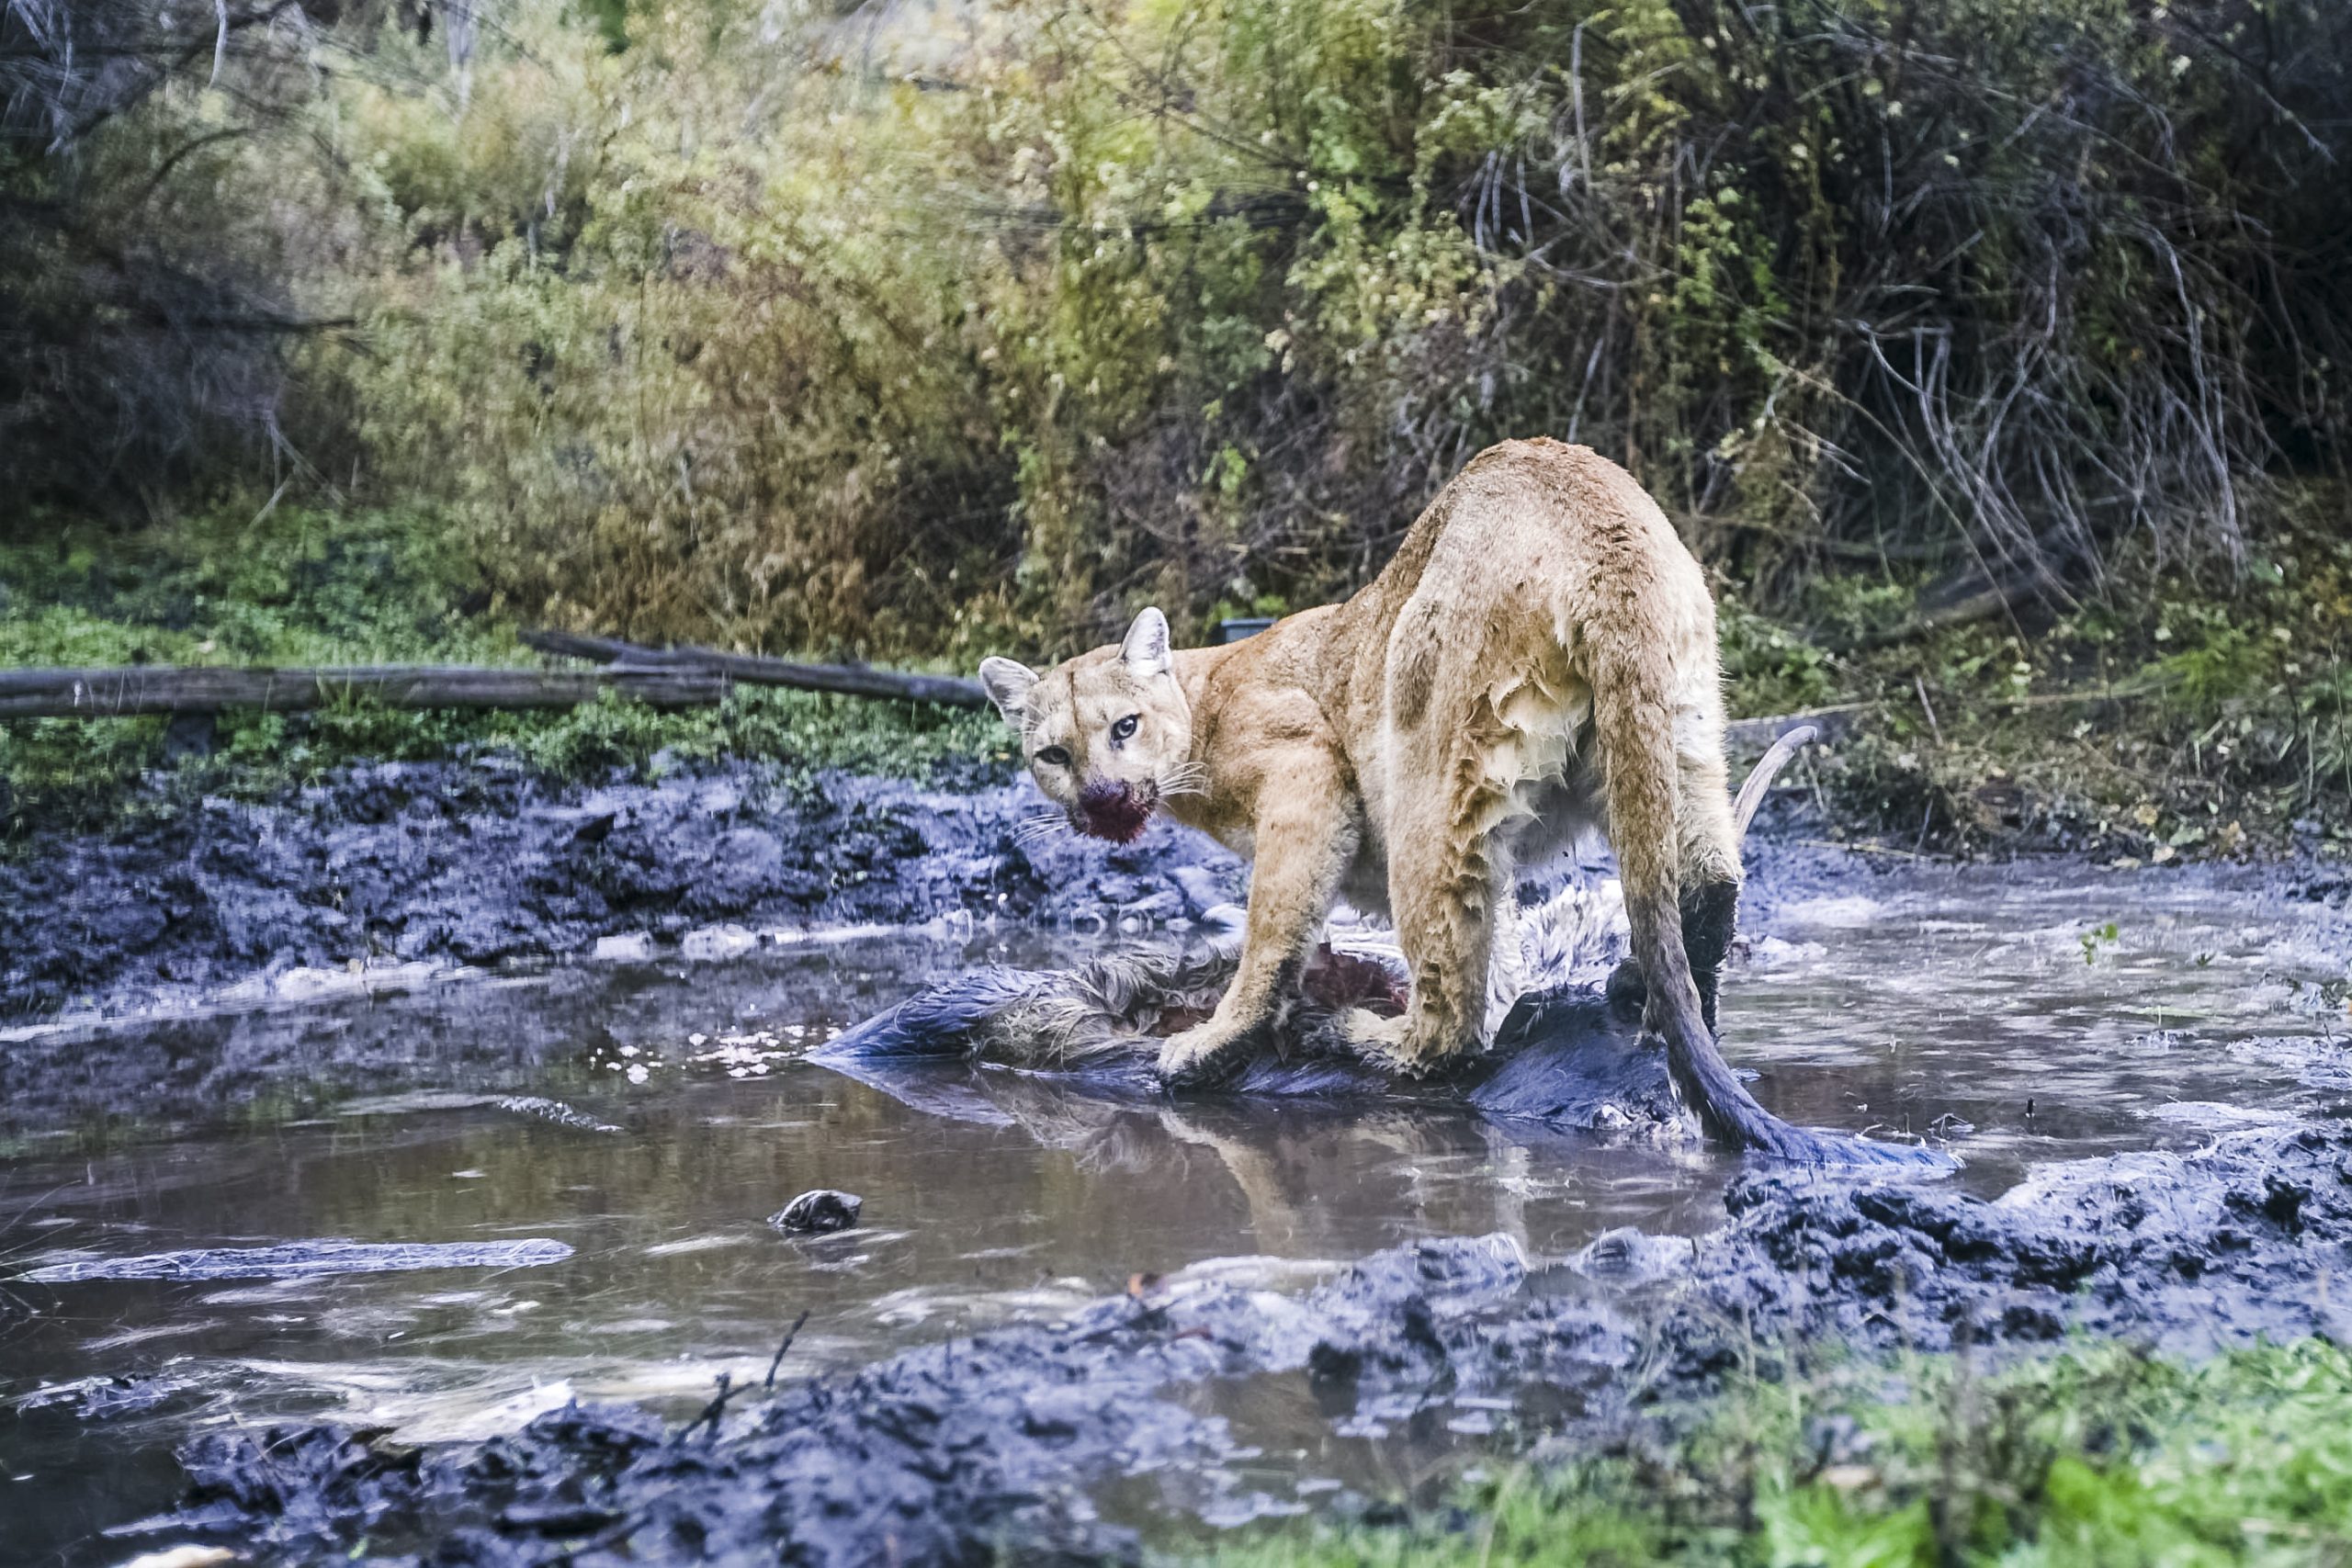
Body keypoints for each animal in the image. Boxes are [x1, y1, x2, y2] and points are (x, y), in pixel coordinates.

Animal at [979, 437, 1826, 1156]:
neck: (1204, 695)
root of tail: (1596, 517)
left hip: (1430, 767)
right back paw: (1641, 994)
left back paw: (1357, 1035)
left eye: (1123, 726)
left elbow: (1273, 927)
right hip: (1679, 733)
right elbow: (1506, 949)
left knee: (1449, 1020)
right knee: (1705, 882)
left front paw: (1211, 1043)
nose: (1103, 797)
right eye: (1054, 754)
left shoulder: (1306, 772)